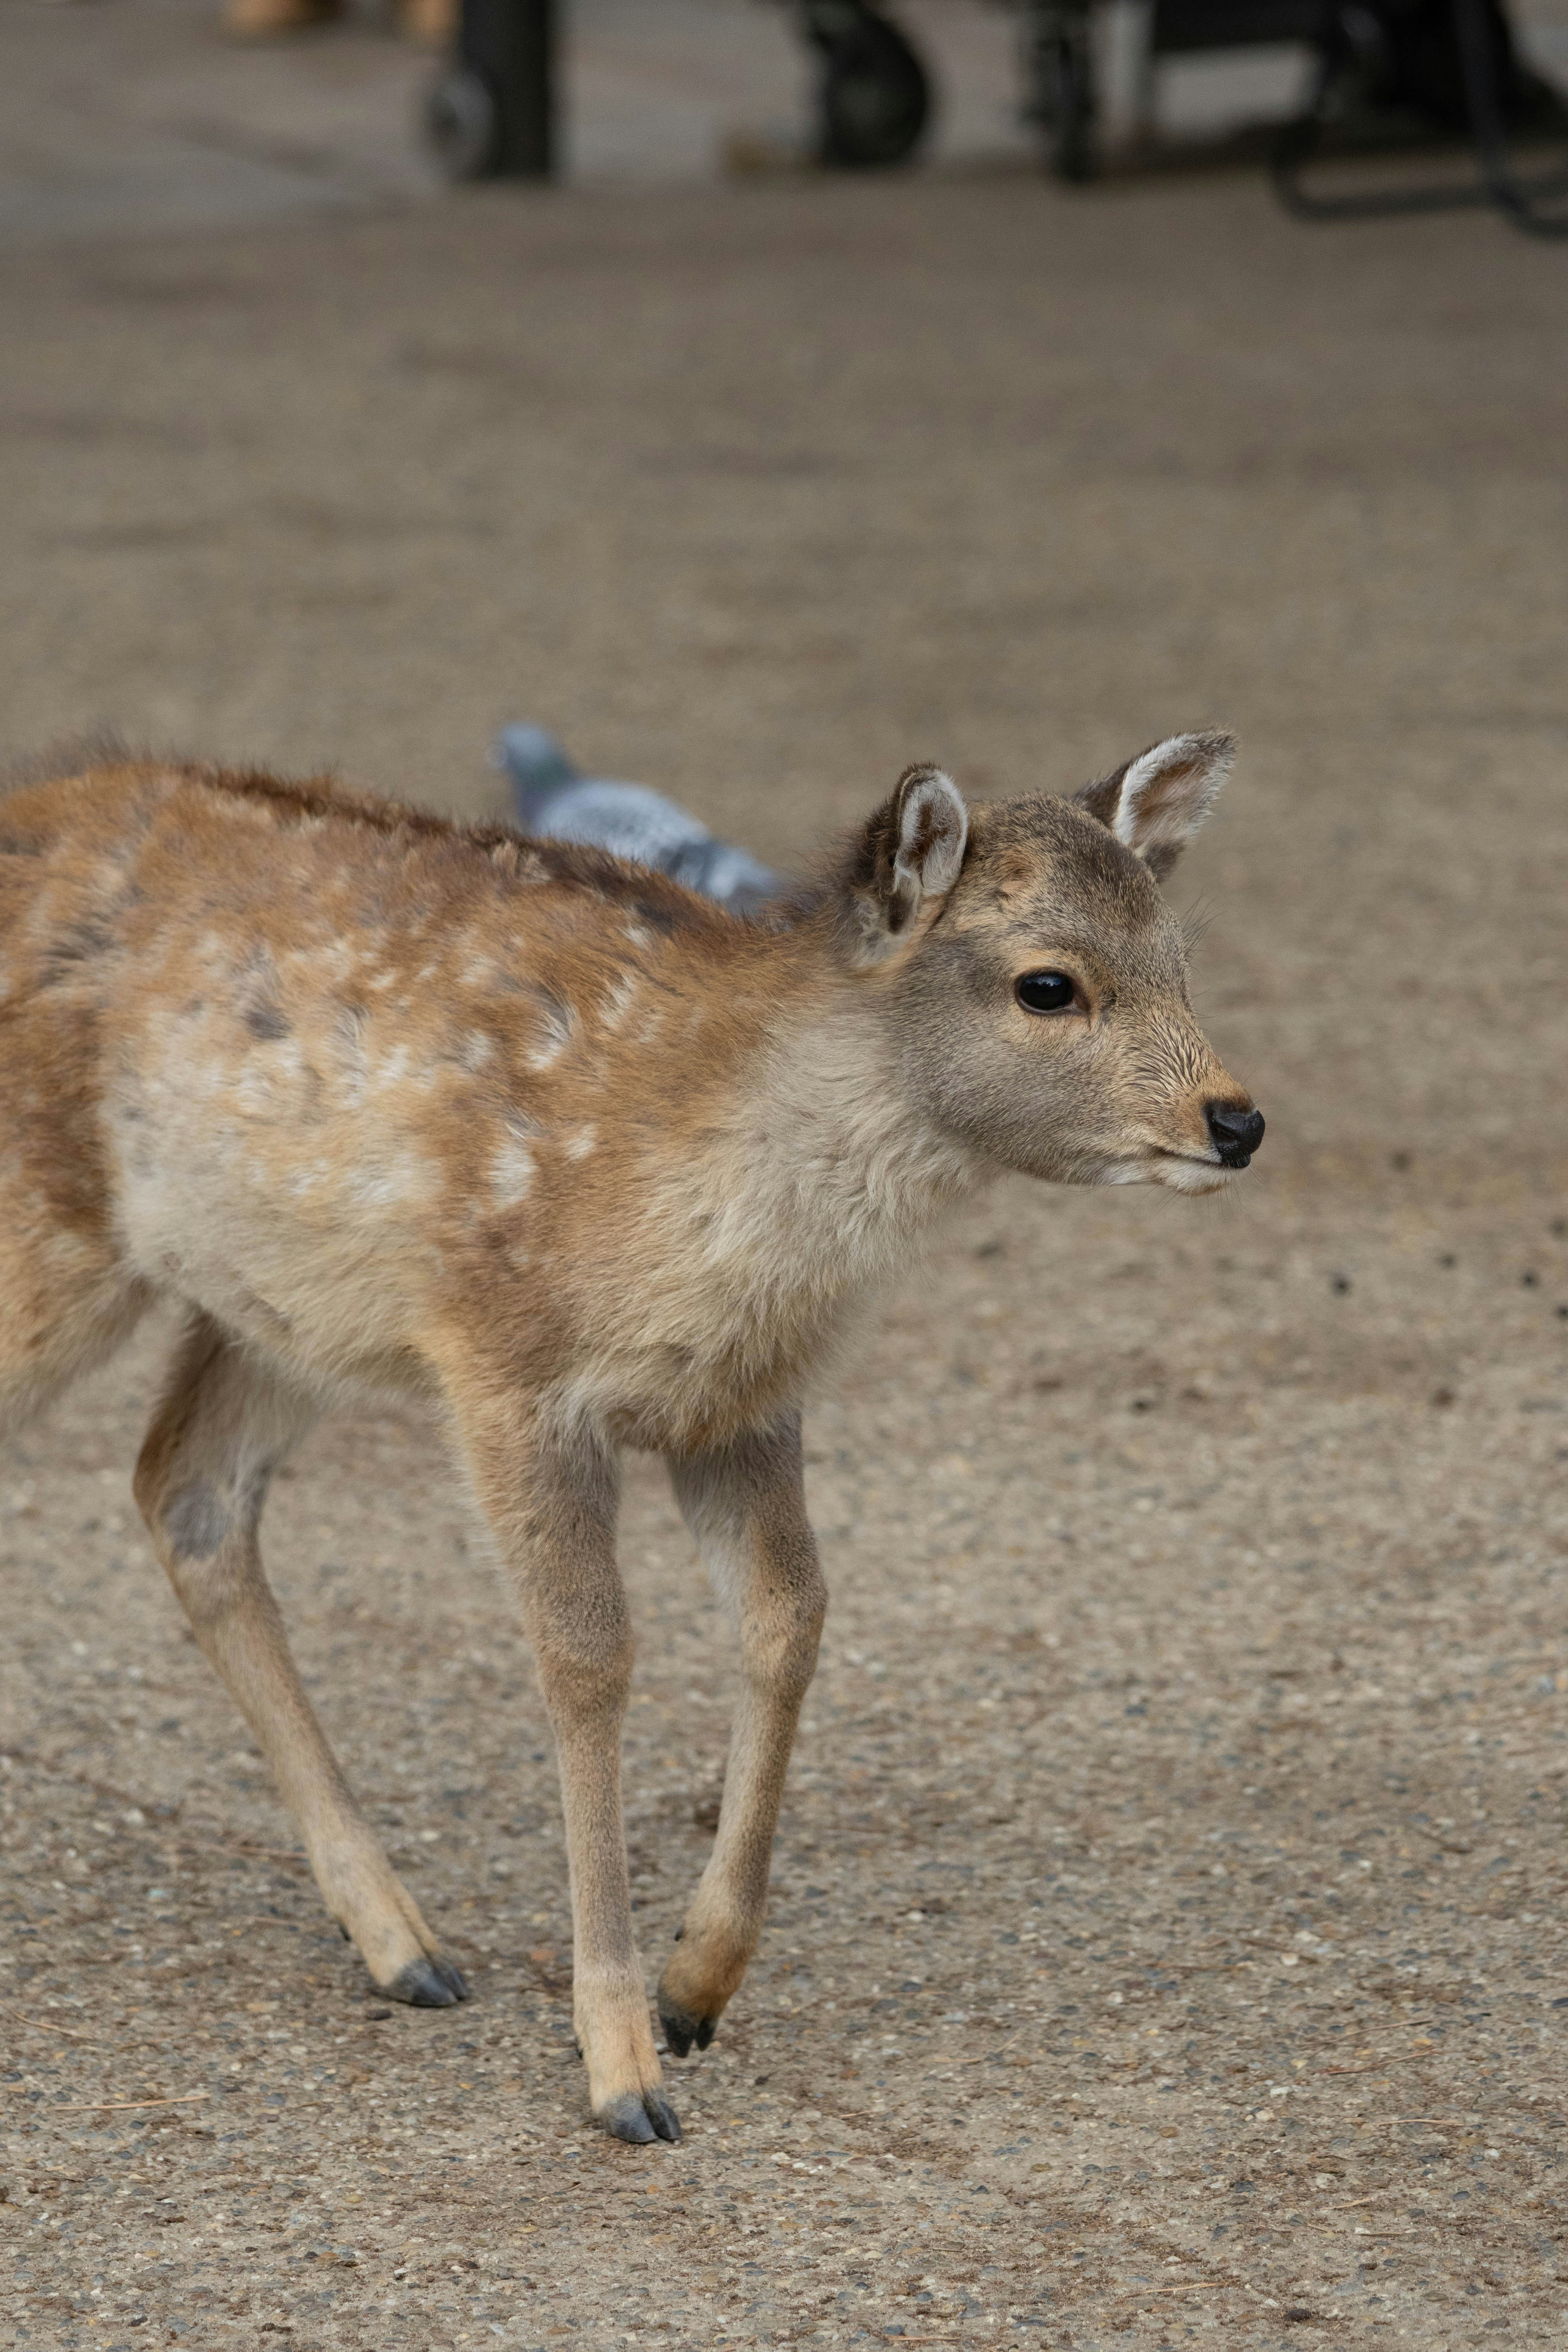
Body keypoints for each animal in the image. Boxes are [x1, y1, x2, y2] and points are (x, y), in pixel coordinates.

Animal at [0, 731, 1263, 2144]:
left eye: (1179, 956)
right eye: (1050, 985)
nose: (1236, 1121)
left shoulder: (739, 1404)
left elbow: (789, 1617)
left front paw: (694, 1987)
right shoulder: (505, 1364)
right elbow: (590, 1657)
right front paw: (621, 2067)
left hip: (280, 1303)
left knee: (185, 1489)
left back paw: (403, 1945)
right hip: (57, 1230)